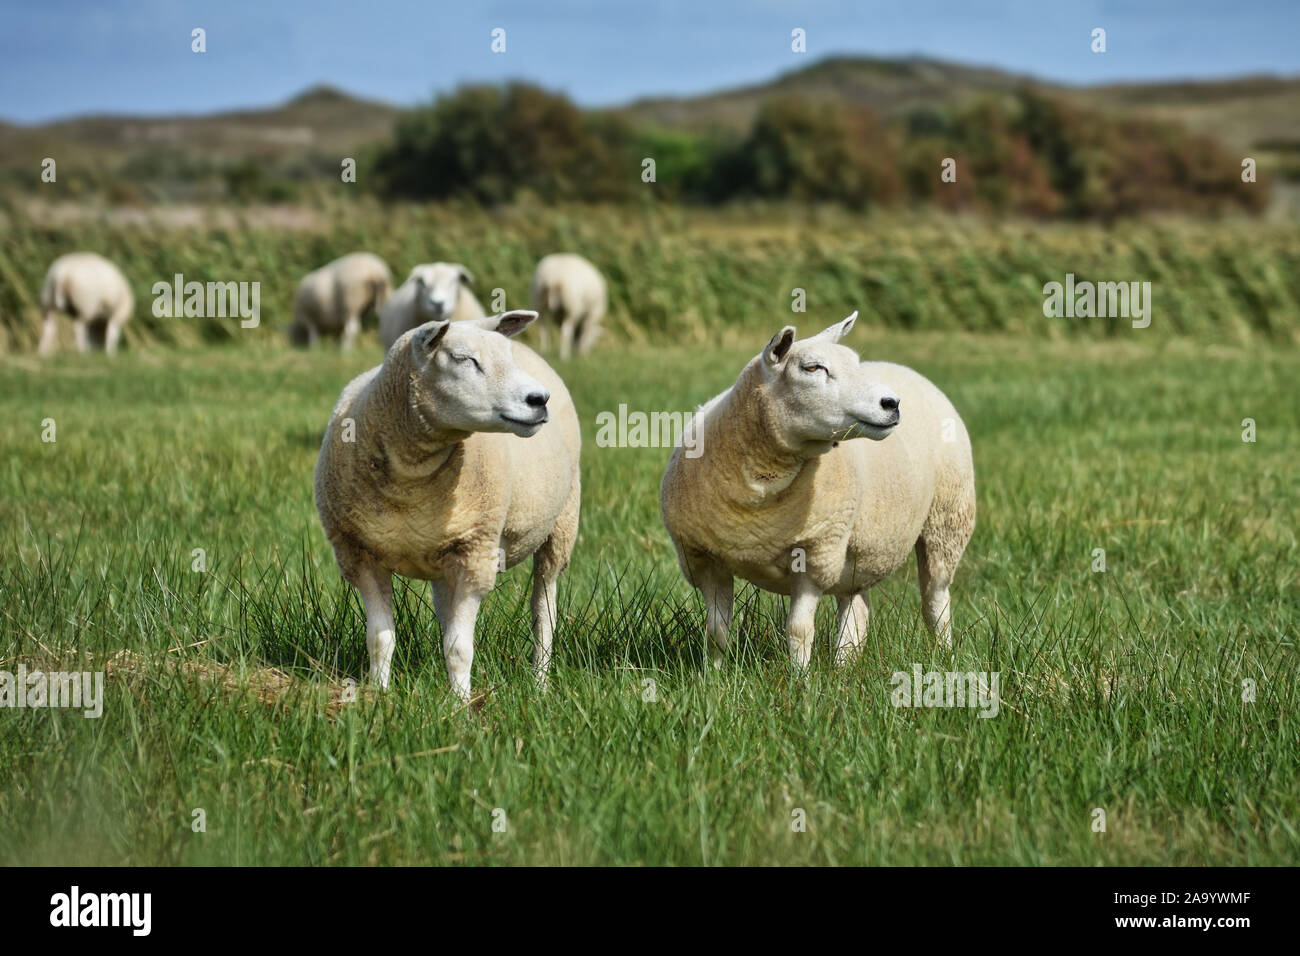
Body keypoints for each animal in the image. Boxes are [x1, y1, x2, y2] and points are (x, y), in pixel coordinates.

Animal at [315, 310, 581, 700]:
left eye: (507, 357)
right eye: (463, 359)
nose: (538, 399)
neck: (410, 480)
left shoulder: (476, 553)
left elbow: (459, 647)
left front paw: (460, 702)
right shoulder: (359, 555)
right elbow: (379, 639)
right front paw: (379, 695)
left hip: (561, 523)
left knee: (543, 609)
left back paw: (540, 681)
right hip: (441, 553)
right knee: (445, 609)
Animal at [660, 312, 976, 670]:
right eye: (812, 368)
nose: (891, 403)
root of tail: (902, 367)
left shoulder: (816, 554)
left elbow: (798, 630)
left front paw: (799, 678)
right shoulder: (703, 559)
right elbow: (716, 631)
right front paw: (713, 676)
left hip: (947, 520)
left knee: (935, 599)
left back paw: (944, 656)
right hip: (859, 544)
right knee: (855, 605)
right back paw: (844, 666)